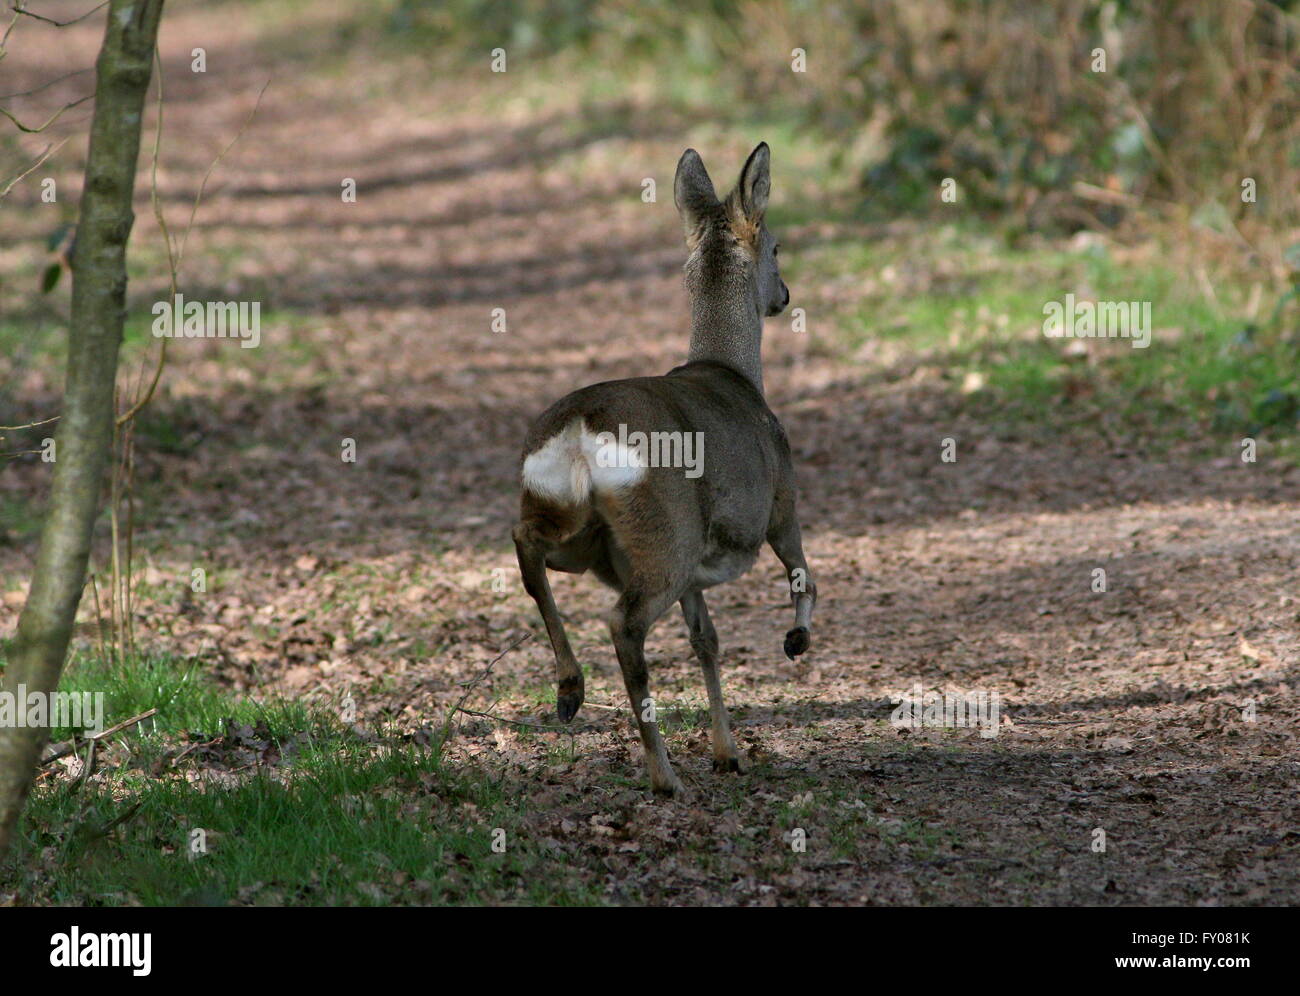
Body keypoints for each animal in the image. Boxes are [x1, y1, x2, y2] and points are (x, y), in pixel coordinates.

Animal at [512, 143, 816, 796]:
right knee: (624, 623)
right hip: (663, 536)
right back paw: (661, 772)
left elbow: (707, 641)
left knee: (528, 550)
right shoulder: (781, 502)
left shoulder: (698, 573)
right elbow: (805, 575)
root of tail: (579, 429)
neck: (735, 373)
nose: (783, 294)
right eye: (777, 247)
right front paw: (796, 639)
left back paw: (570, 692)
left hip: (577, 526)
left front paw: (729, 752)